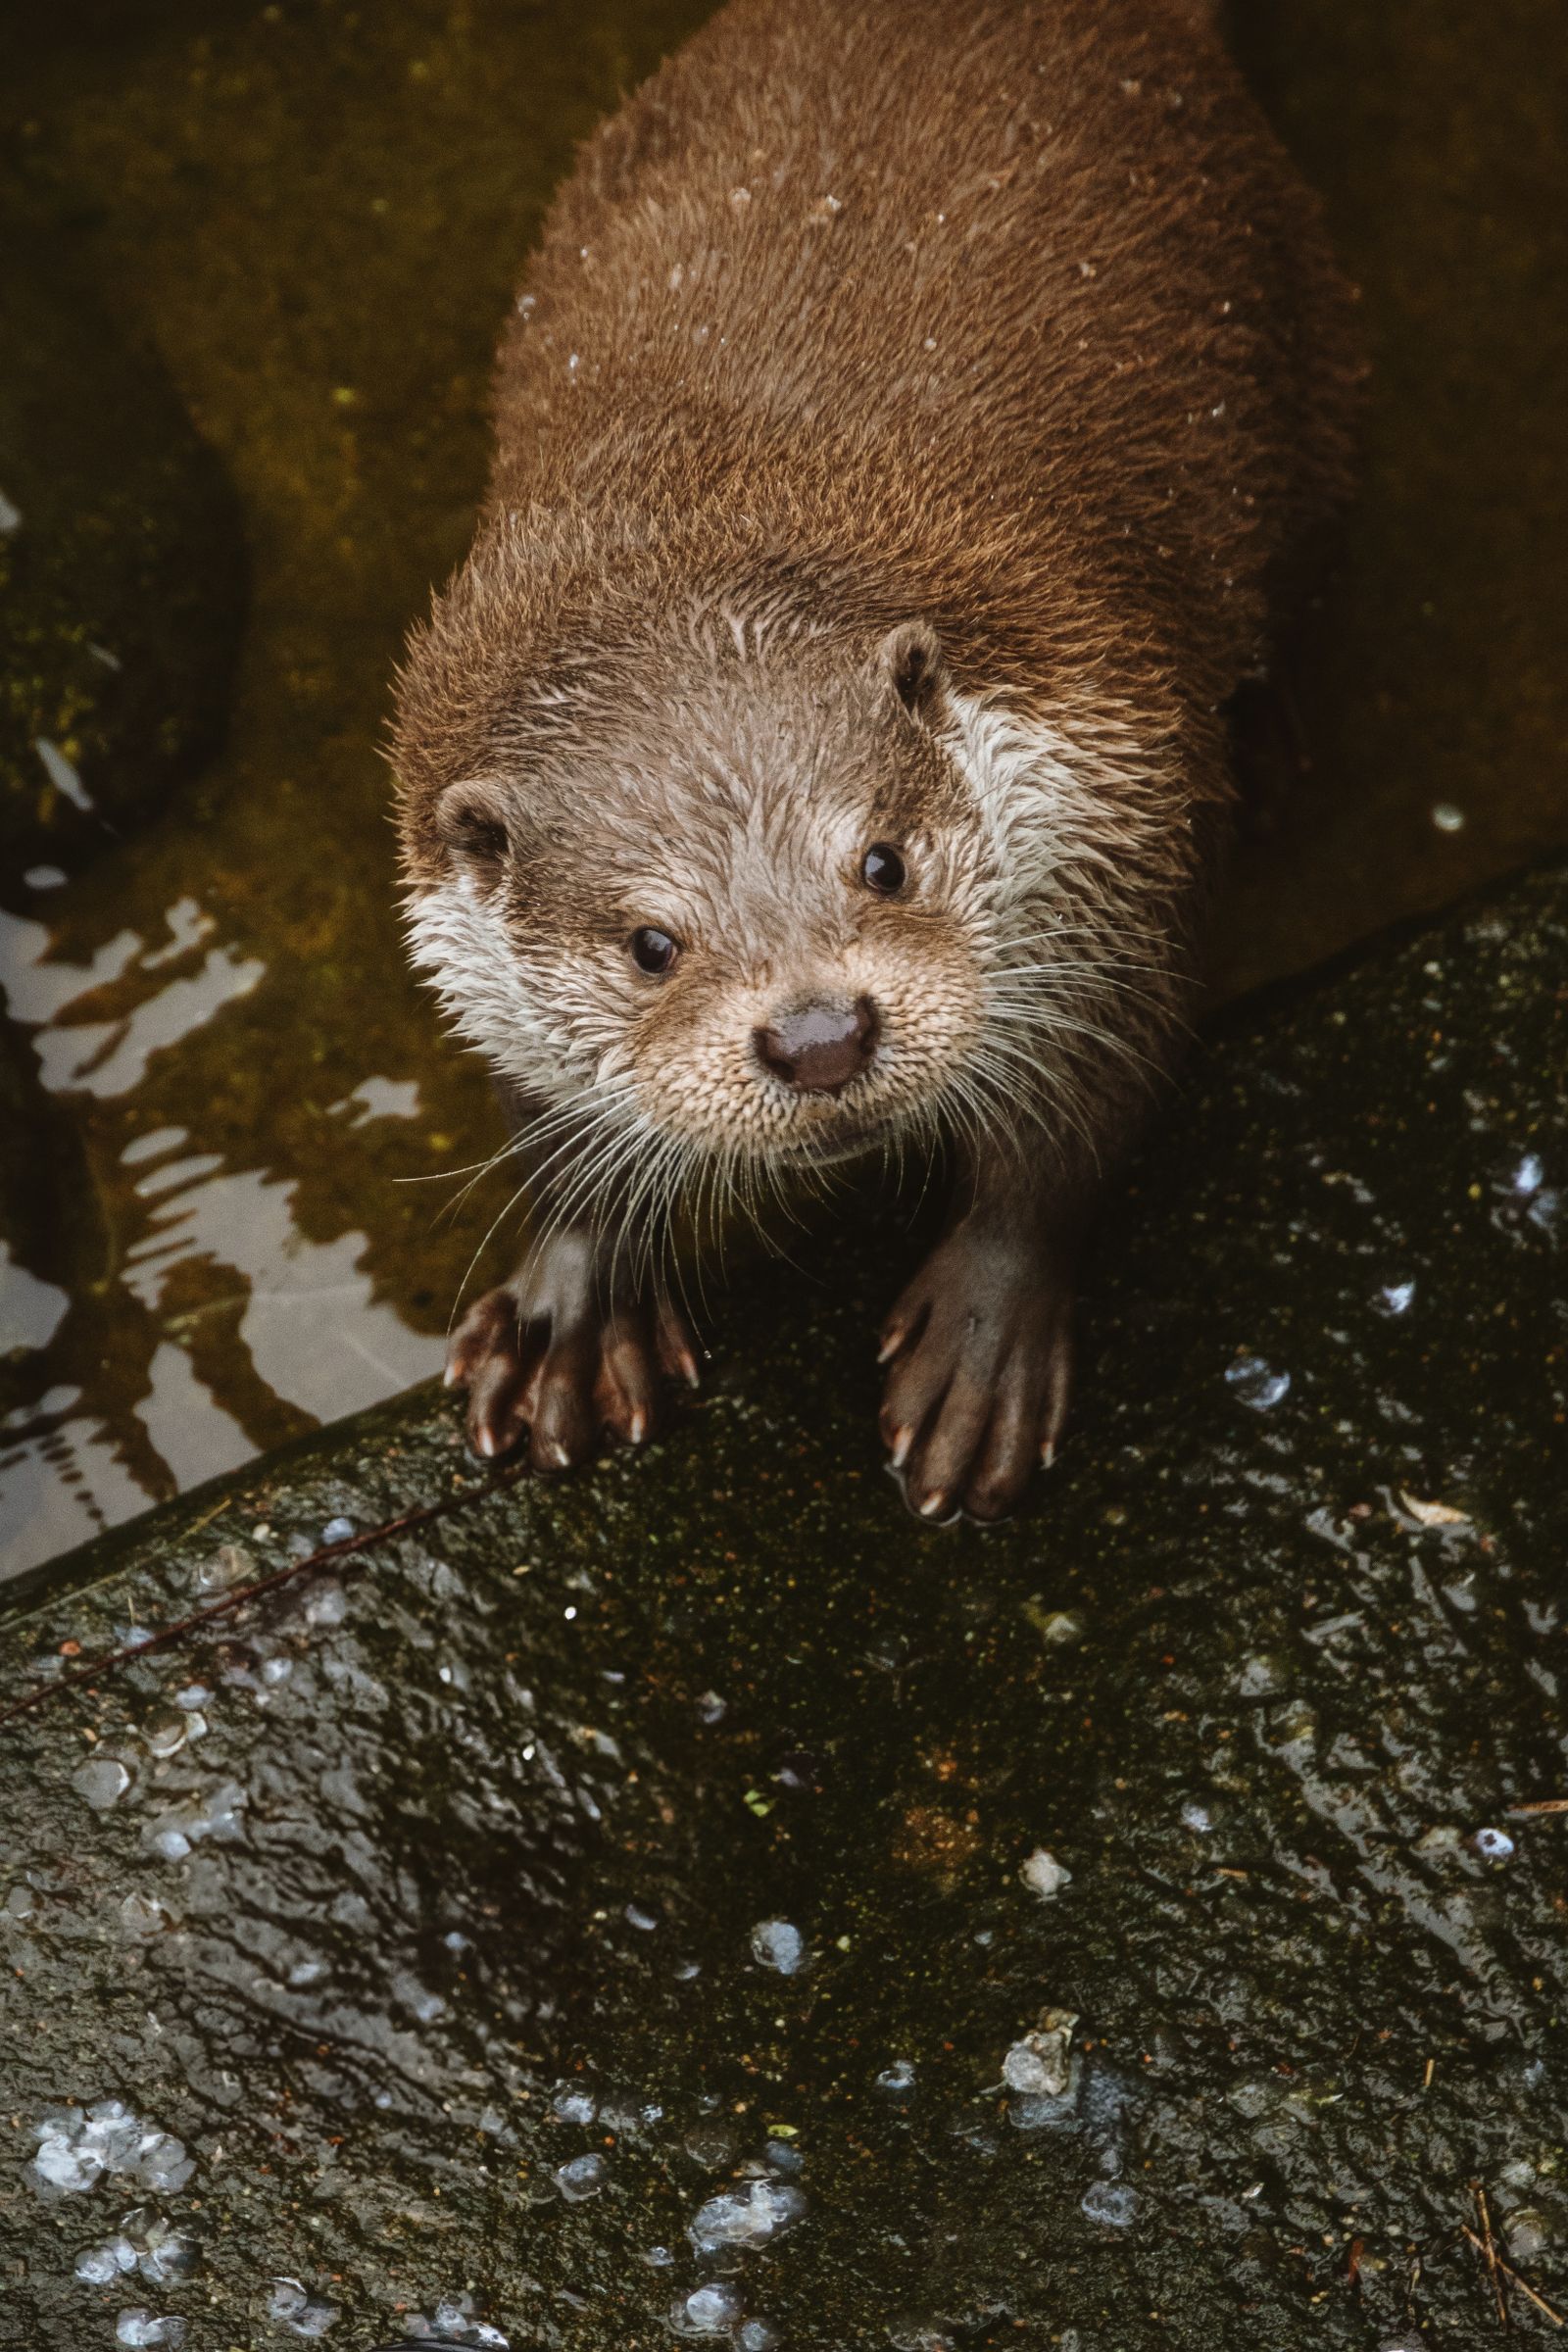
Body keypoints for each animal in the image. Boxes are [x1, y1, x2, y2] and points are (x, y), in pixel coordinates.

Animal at [393, 0, 1360, 1522]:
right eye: (649, 946)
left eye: (884, 862)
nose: (818, 1035)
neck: (707, 524)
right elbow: (541, 1107)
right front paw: (570, 1301)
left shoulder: (1119, 797)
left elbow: (1083, 1101)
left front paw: (985, 1332)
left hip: (1305, 344)